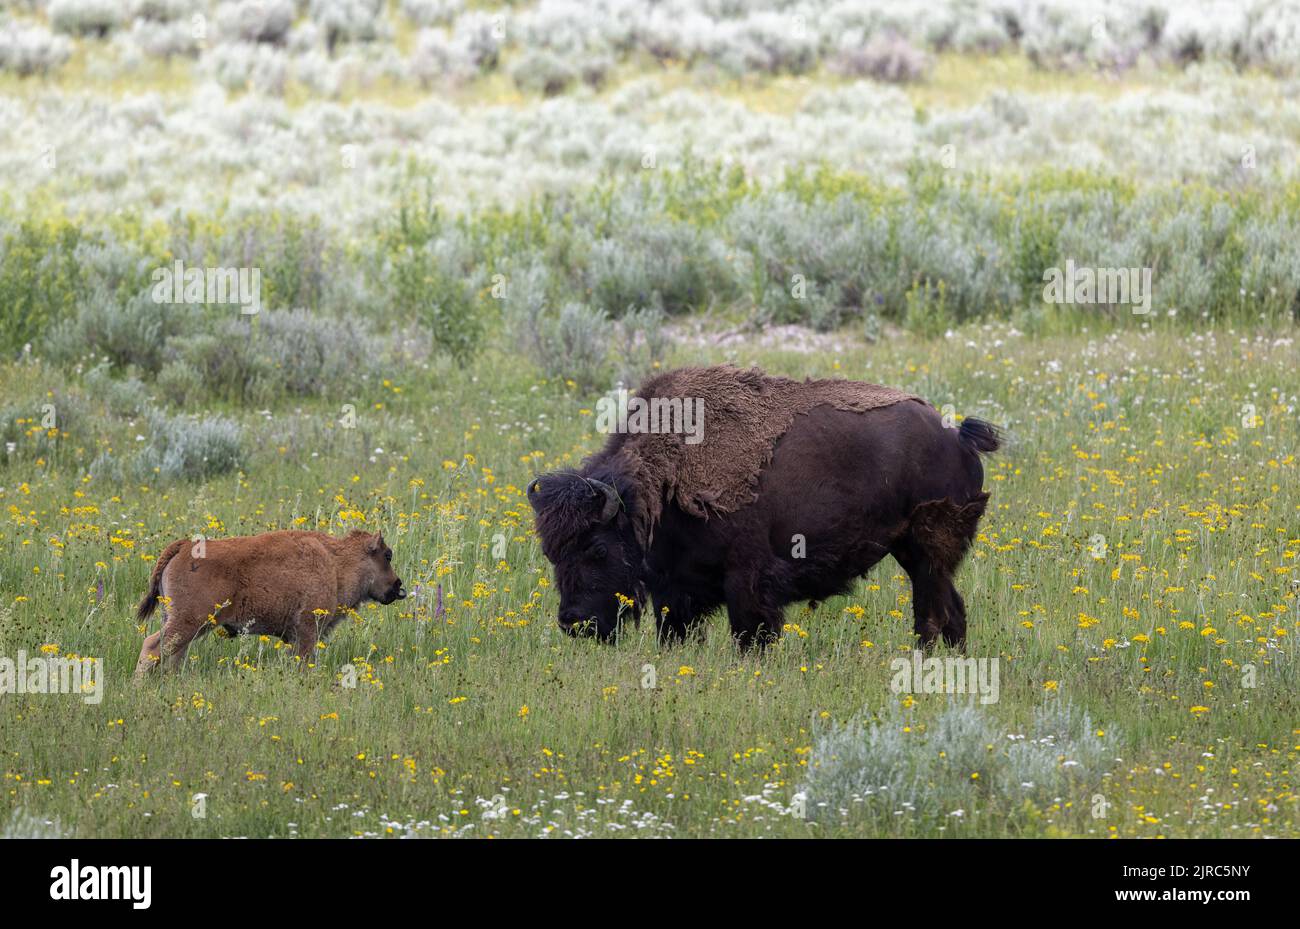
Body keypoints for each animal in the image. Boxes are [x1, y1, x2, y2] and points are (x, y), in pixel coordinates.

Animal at [134, 529, 404, 674]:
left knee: (173, 654)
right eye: (387, 555)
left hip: (182, 622)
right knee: (152, 646)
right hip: (188, 621)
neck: (336, 563)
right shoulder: (307, 630)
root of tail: (182, 547)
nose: (398, 587)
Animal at [527, 365, 1000, 649]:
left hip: (927, 548)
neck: (663, 483)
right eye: (551, 553)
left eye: (597, 548)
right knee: (952, 611)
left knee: (932, 613)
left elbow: (750, 635)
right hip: (913, 553)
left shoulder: (748, 582)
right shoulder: (673, 592)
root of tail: (957, 435)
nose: (573, 622)